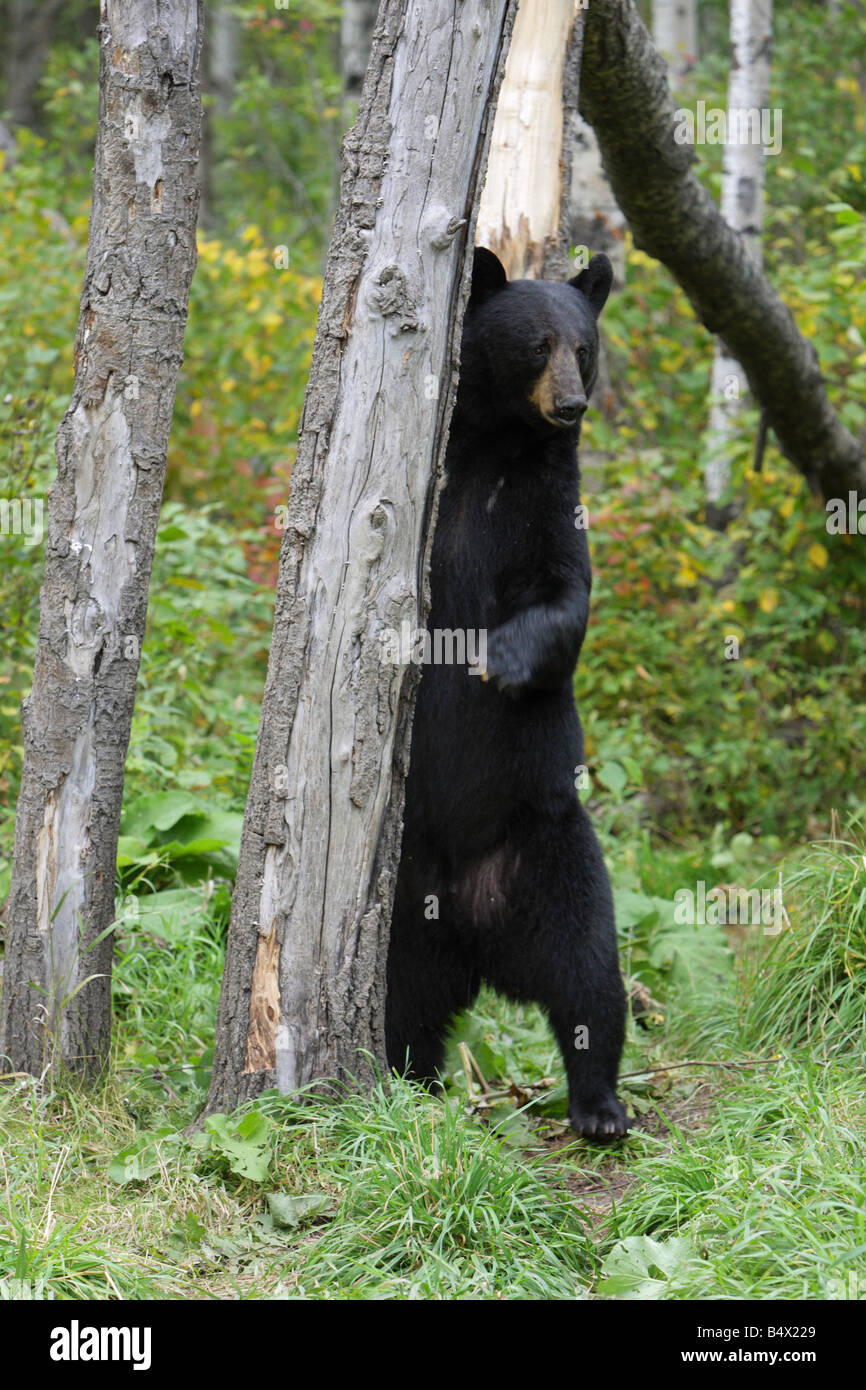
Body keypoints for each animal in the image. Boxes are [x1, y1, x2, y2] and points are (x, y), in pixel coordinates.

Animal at [385, 246, 628, 1140]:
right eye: (535, 344)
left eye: (583, 347)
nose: (570, 403)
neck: (496, 446)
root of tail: (475, 926)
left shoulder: (548, 503)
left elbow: (563, 597)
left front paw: (500, 661)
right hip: (402, 899)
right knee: (405, 1006)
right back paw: (406, 1085)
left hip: (553, 854)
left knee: (590, 977)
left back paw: (598, 1106)